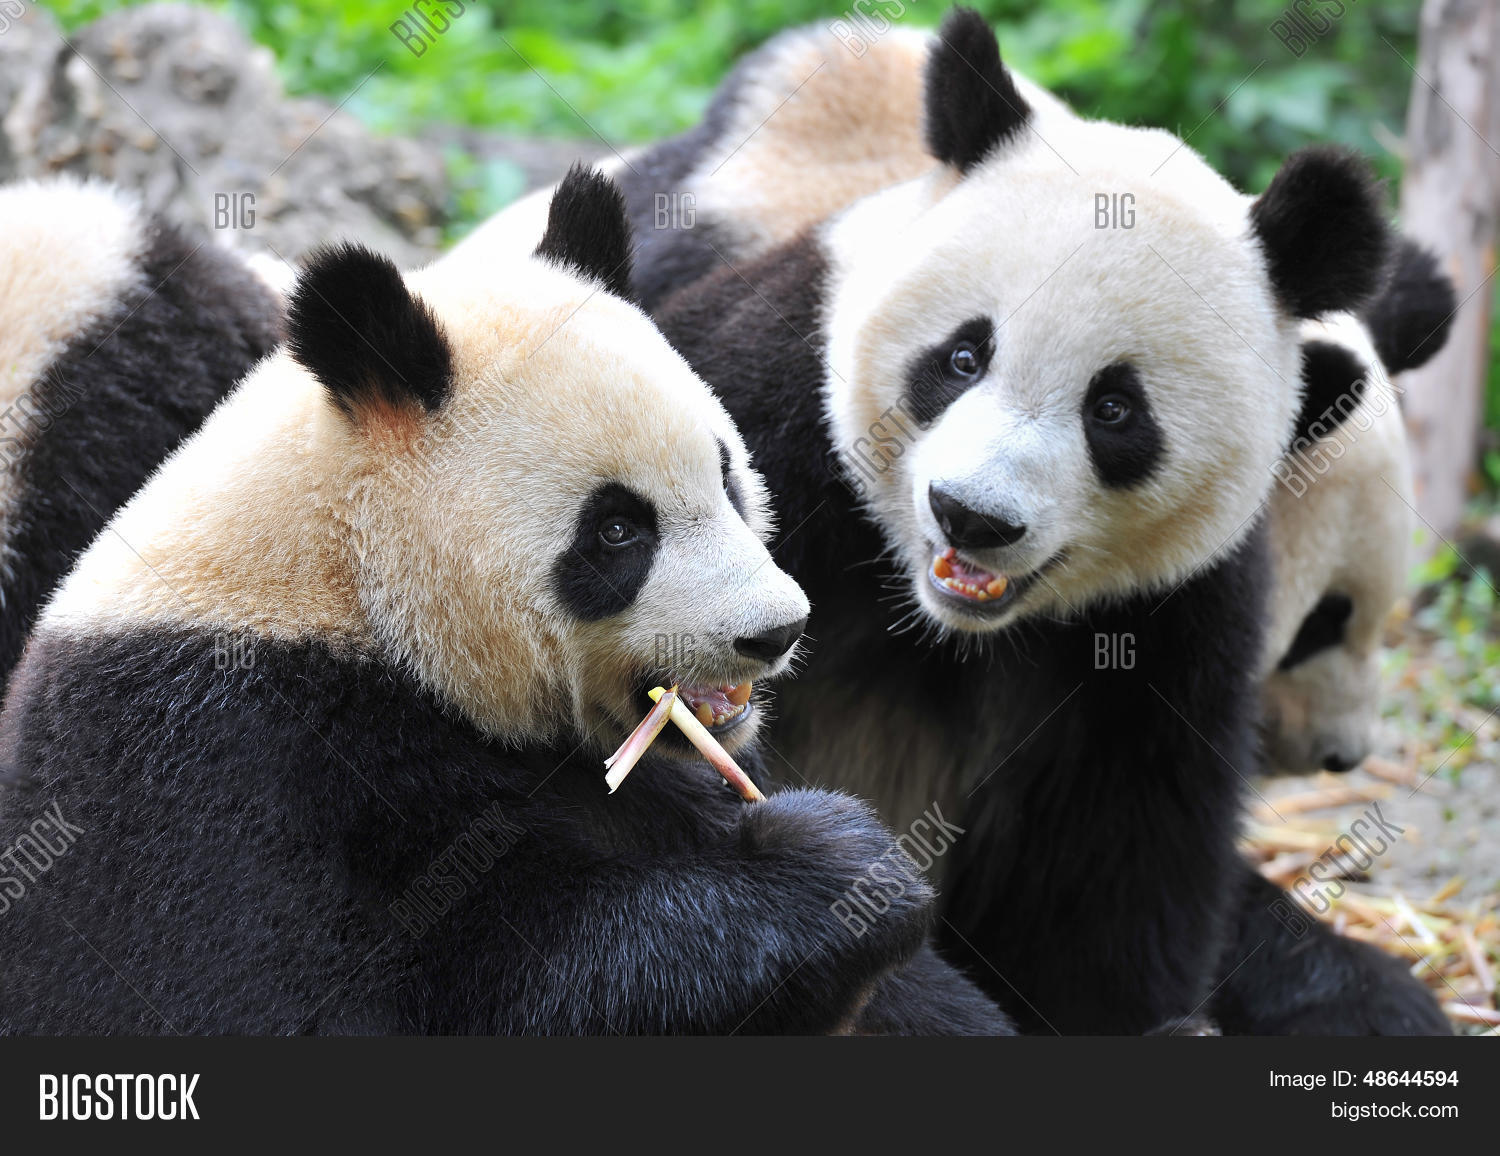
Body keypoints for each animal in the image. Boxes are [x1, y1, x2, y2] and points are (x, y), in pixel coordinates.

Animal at [575, 10, 1445, 1033]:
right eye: (962, 357)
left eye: (1116, 410)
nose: (972, 516)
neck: (933, 620)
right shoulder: (763, 412)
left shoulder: (1161, 628)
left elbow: (1112, 881)